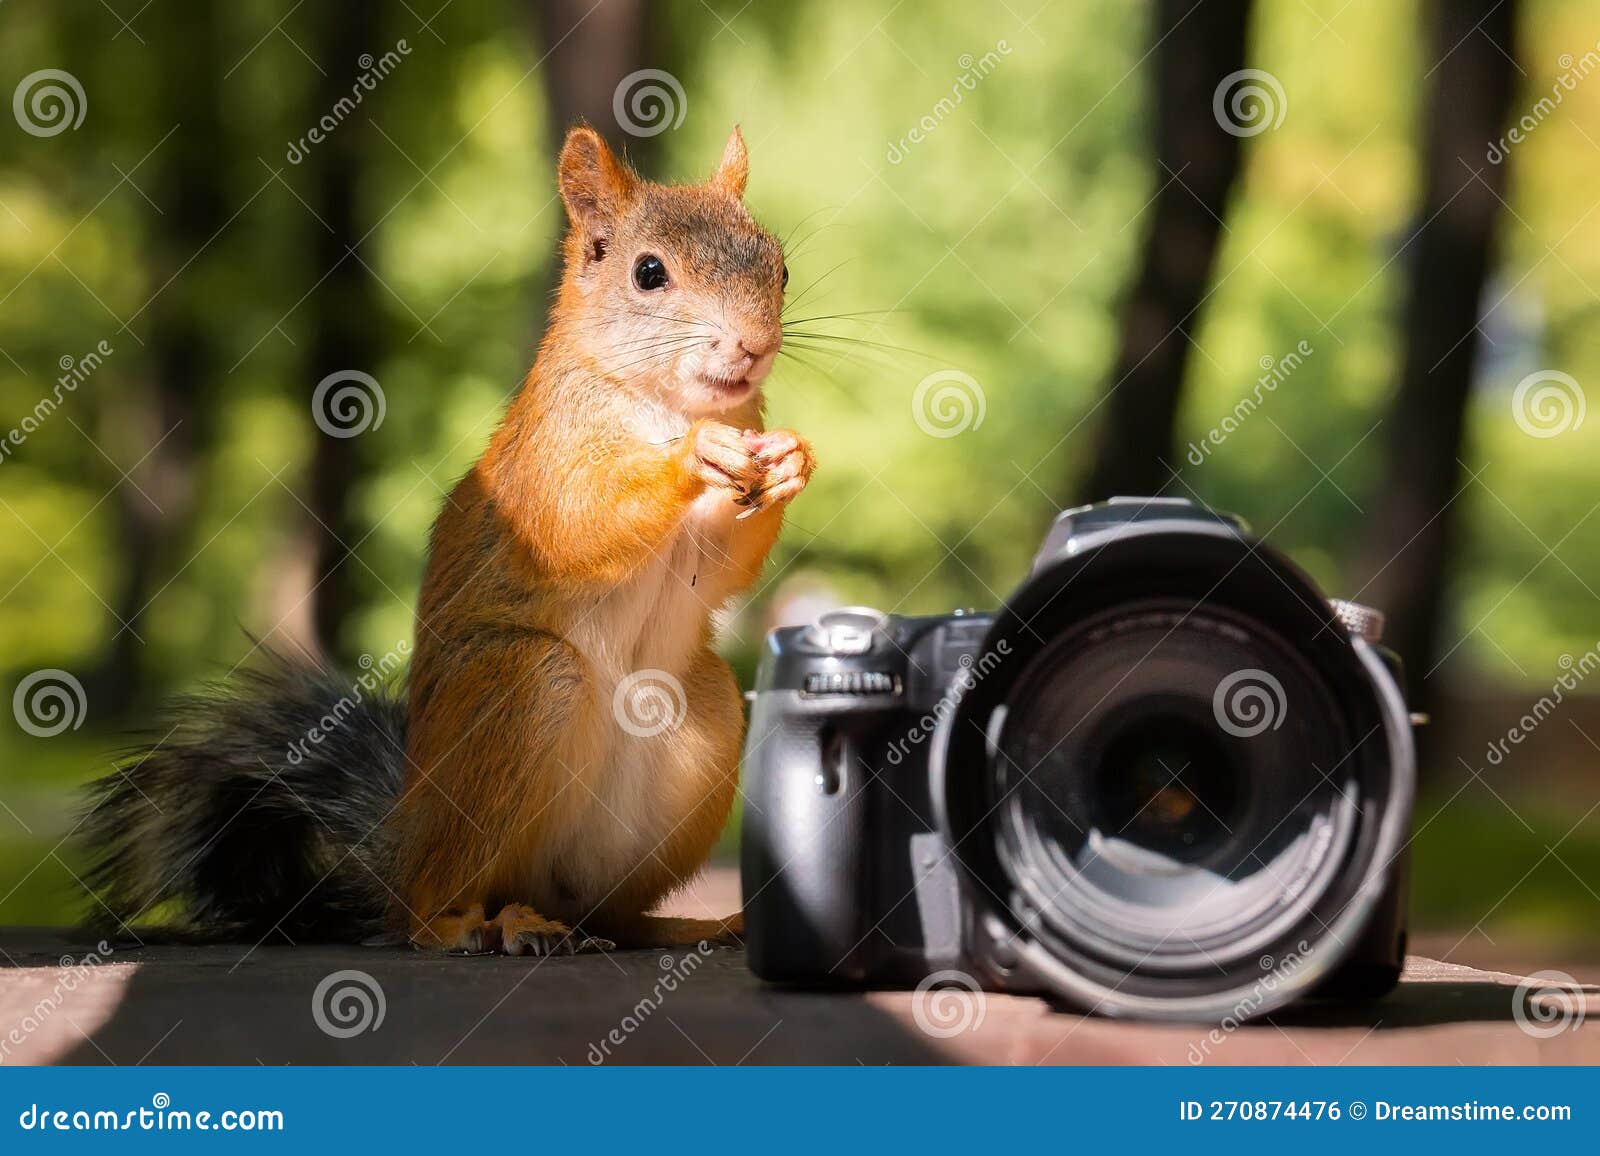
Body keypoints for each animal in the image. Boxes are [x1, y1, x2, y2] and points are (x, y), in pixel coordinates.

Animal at [82, 124, 813, 957]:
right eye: (649, 273)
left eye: (780, 266)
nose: (752, 346)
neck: (669, 404)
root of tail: (401, 851)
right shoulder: (544, 467)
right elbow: (579, 522)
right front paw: (697, 455)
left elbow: (716, 568)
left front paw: (790, 463)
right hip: (512, 692)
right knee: (432, 907)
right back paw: (475, 923)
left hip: (703, 721)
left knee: (611, 914)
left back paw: (686, 924)